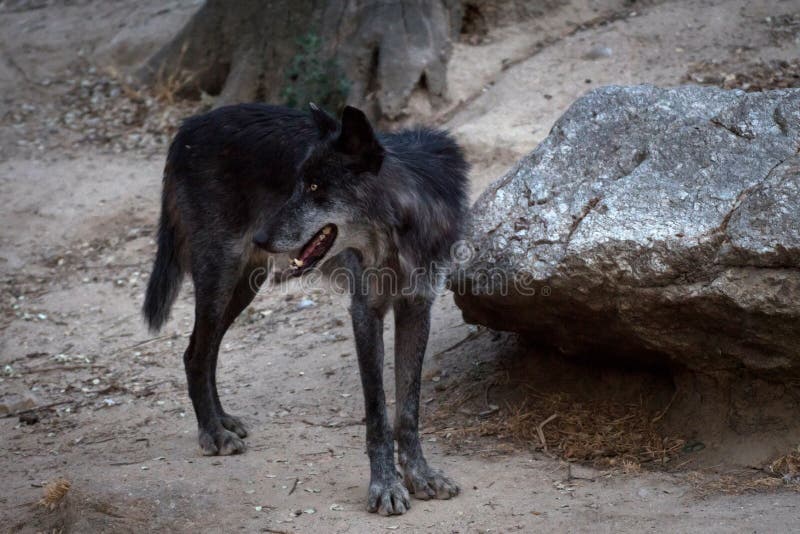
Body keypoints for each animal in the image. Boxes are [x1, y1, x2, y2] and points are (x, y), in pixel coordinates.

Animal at [143, 102, 469, 515]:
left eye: (315, 188)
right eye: (298, 183)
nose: (261, 236)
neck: (400, 229)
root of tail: (188, 127)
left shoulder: (416, 308)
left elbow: (408, 411)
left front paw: (420, 475)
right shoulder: (364, 313)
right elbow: (378, 413)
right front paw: (385, 486)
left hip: (243, 285)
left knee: (202, 350)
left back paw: (222, 420)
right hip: (221, 275)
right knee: (196, 353)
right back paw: (213, 433)